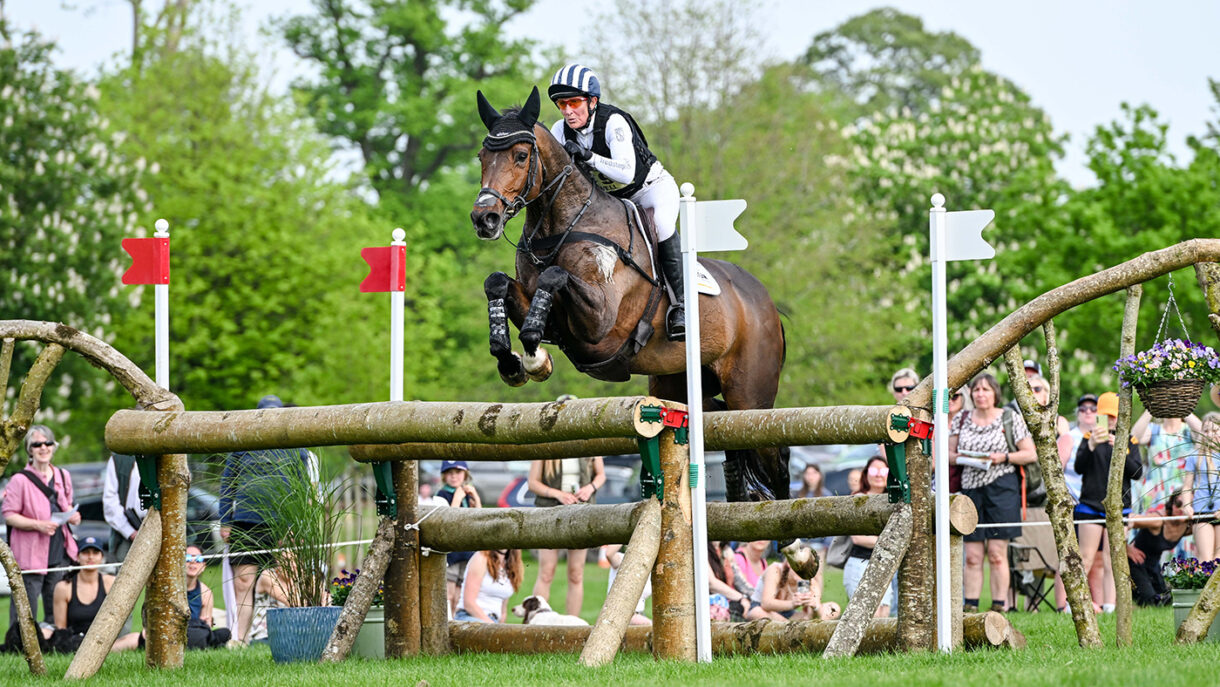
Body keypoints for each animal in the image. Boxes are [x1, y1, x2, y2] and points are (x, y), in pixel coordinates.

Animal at [470, 87, 816, 577]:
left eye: (520, 155)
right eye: (482, 155)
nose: (485, 219)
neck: (564, 224)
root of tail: (764, 302)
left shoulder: (600, 325)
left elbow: (556, 278)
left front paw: (534, 354)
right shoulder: (540, 301)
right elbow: (497, 283)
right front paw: (514, 358)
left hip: (752, 392)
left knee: (775, 452)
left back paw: (798, 550)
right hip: (679, 388)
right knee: (721, 433)